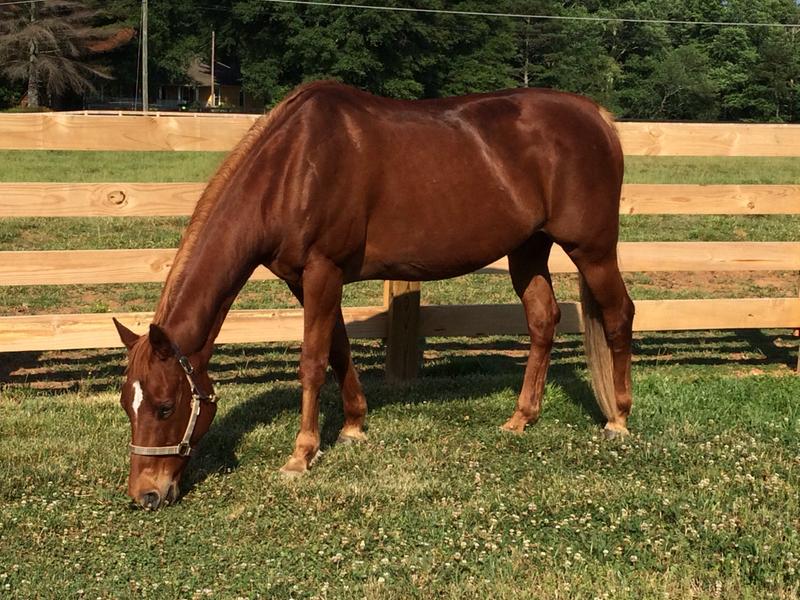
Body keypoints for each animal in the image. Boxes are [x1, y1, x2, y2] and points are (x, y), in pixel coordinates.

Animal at [113, 80, 634, 510]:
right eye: (126, 404)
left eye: (165, 406)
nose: (146, 494)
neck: (292, 168)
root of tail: (597, 116)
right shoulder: (306, 280)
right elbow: (339, 349)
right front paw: (353, 426)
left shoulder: (322, 271)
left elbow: (312, 361)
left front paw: (301, 455)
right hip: (528, 249)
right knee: (543, 319)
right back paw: (522, 418)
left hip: (592, 250)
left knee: (619, 315)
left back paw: (619, 419)